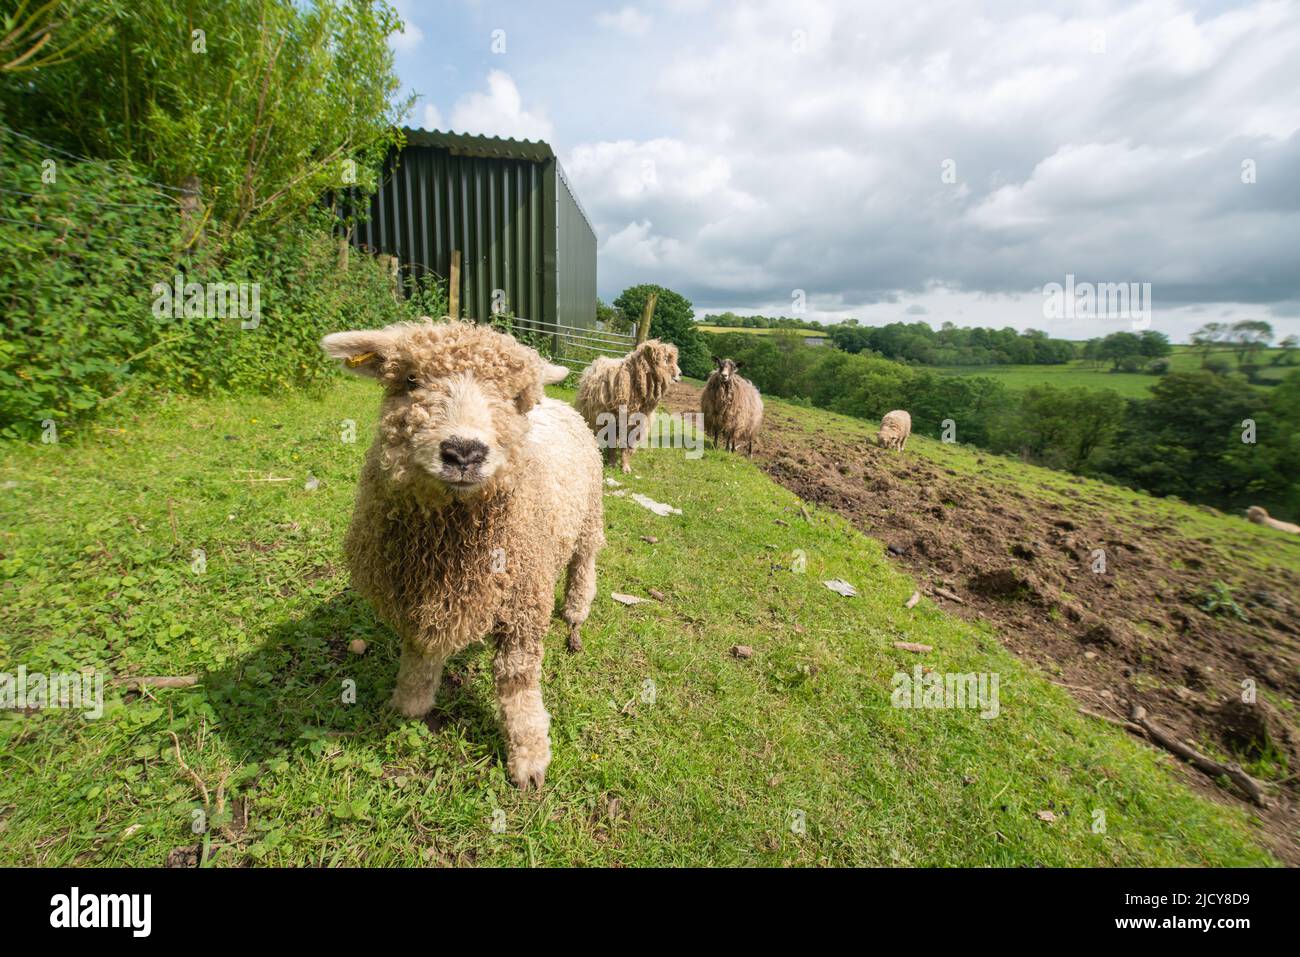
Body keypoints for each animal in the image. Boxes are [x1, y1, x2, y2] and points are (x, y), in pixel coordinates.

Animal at [321, 318, 605, 790]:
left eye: (514, 398)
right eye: (410, 380)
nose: (464, 452)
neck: (449, 544)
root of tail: (559, 403)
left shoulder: (522, 605)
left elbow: (517, 682)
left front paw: (529, 757)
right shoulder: (415, 599)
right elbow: (418, 654)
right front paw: (410, 703)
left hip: (588, 516)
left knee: (585, 563)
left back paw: (576, 614)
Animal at [574, 338, 681, 472]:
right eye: (665, 359)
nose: (680, 374)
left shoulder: (636, 425)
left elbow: (626, 446)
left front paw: (625, 467)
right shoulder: (613, 420)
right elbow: (613, 443)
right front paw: (612, 464)